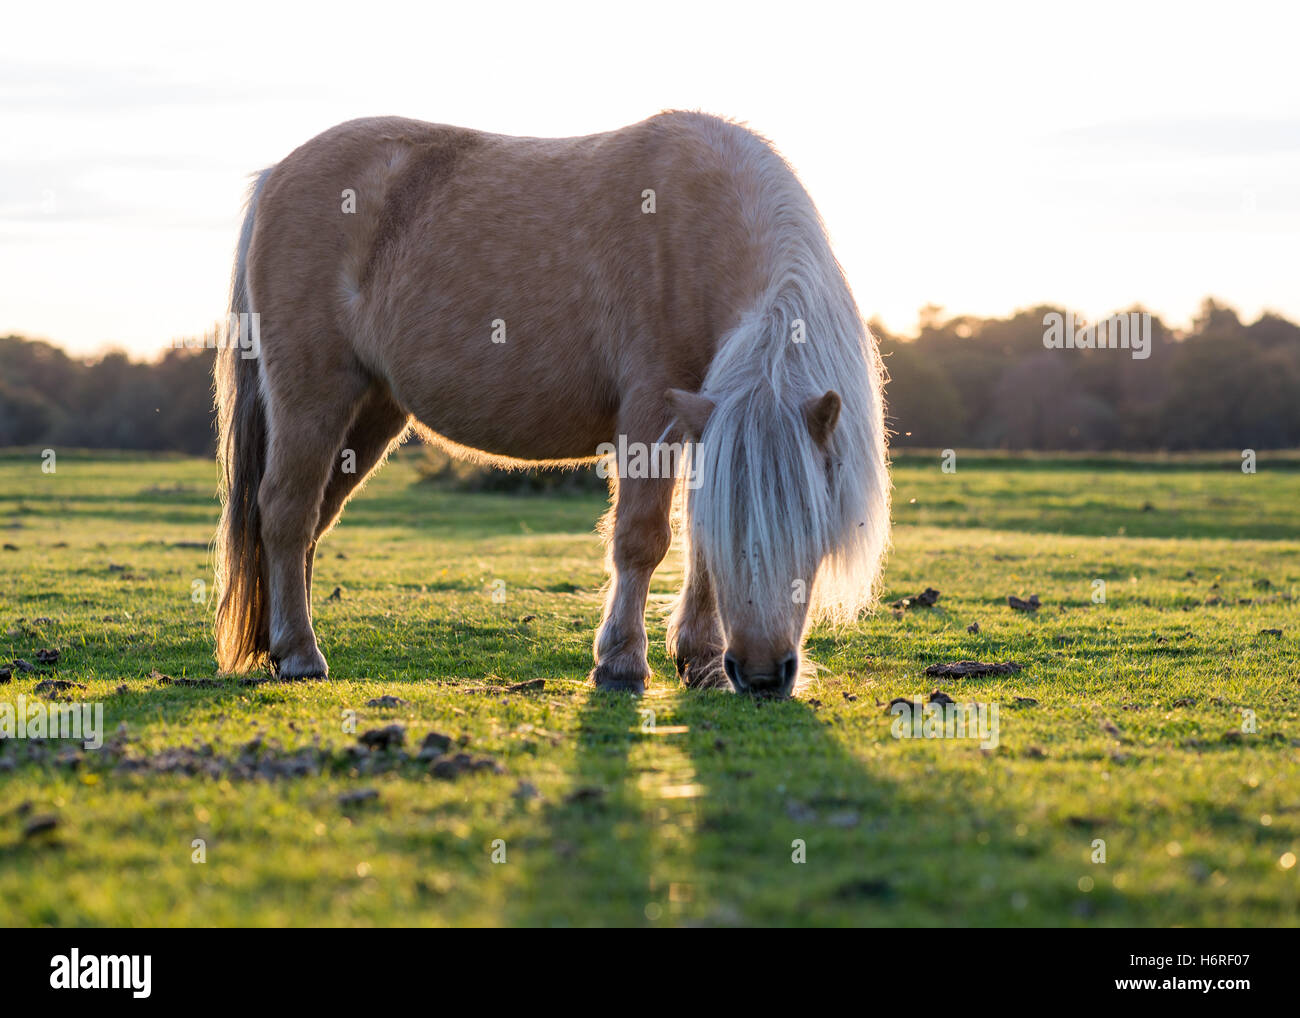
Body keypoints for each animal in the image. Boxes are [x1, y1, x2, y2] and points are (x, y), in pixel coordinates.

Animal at [213, 111, 890, 698]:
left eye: (811, 522)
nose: (761, 675)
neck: (696, 227)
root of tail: (277, 175)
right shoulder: (651, 413)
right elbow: (642, 538)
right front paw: (621, 663)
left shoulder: (703, 424)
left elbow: (691, 541)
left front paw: (697, 661)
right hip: (313, 398)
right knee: (286, 512)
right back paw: (300, 655)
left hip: (372, 413)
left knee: (312, 521)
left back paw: (277, 645)